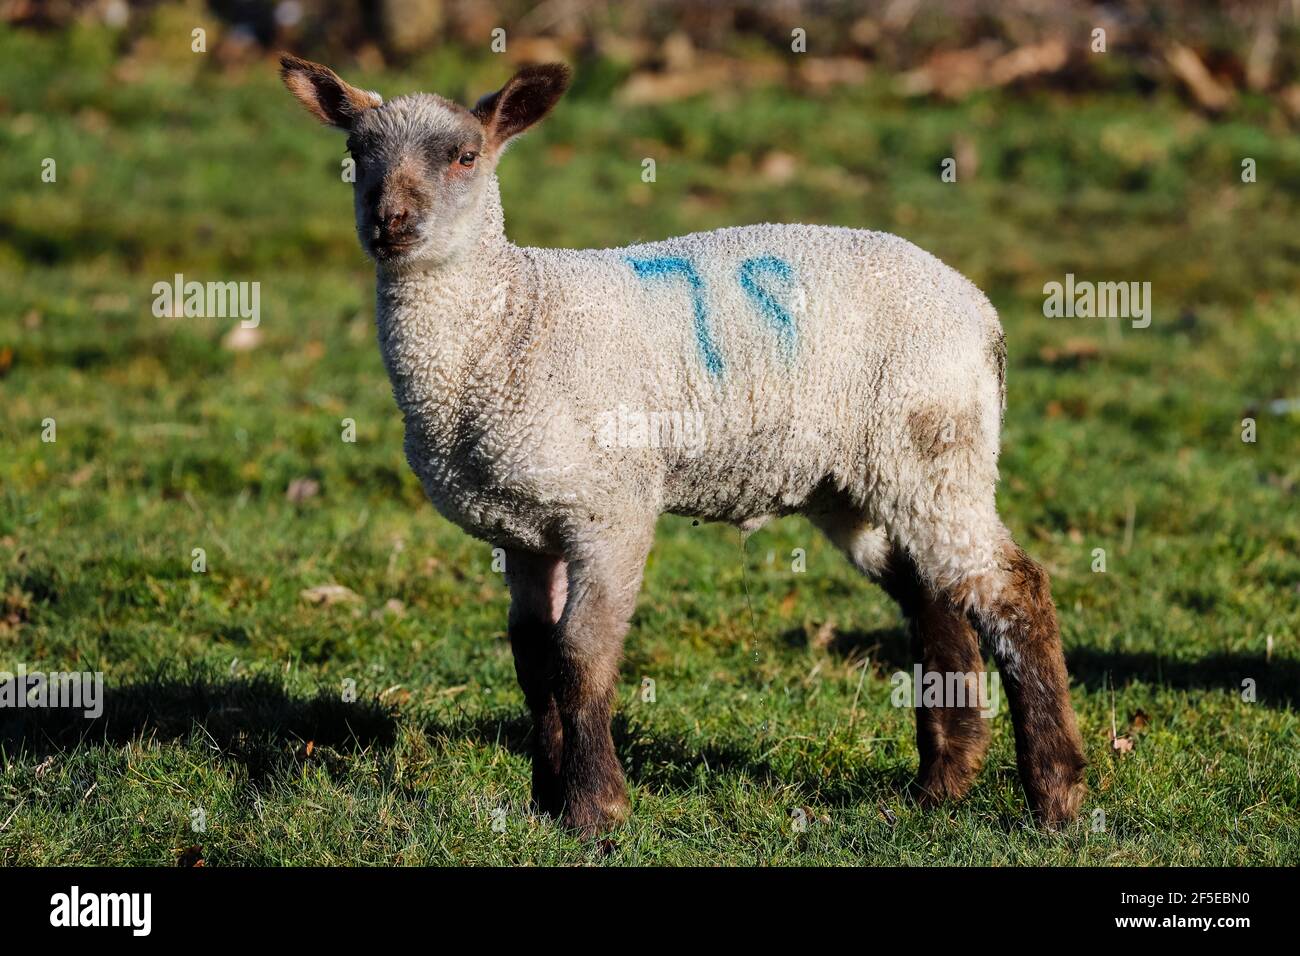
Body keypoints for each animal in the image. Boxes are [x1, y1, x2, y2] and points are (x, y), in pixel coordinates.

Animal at [279, 55, 1088, 835]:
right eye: (356, 153)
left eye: (465, 155)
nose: (390, 223)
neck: (510, 322)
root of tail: (982, 314)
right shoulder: (524, 528)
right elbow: (533, 661)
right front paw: (546, 800)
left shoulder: (611, 507)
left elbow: (581, 658)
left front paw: (596, 810)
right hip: (859, 481)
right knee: (936, 598)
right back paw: (939, 786)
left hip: (934, 439)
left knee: (1011, 589)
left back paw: (1055, 797)